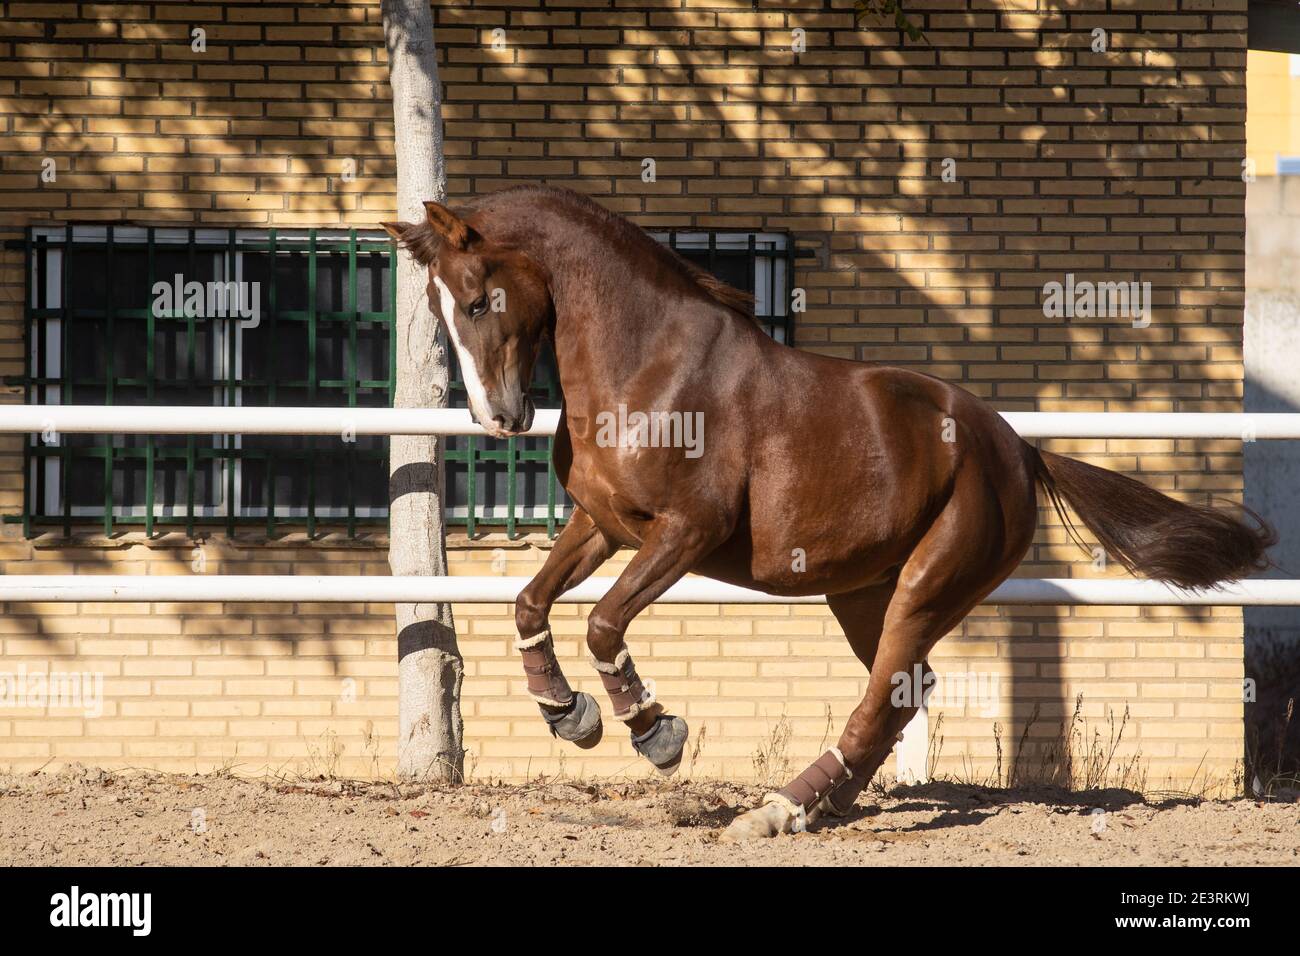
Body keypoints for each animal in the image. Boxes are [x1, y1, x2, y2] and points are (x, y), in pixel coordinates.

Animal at [382, 185, 1274, 841]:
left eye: (478, 299)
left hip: (928, 585)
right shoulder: (604, 526)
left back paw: (779, 807)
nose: (501, 418)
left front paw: (653, 731)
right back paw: (820, 803)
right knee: (903, 692)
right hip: (860, 594)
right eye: (440, 305)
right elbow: (531, 602)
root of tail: (1017, 449)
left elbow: (603, 622)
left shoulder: (685, 534)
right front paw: (570, 715)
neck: (645, 366)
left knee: (886, 697)